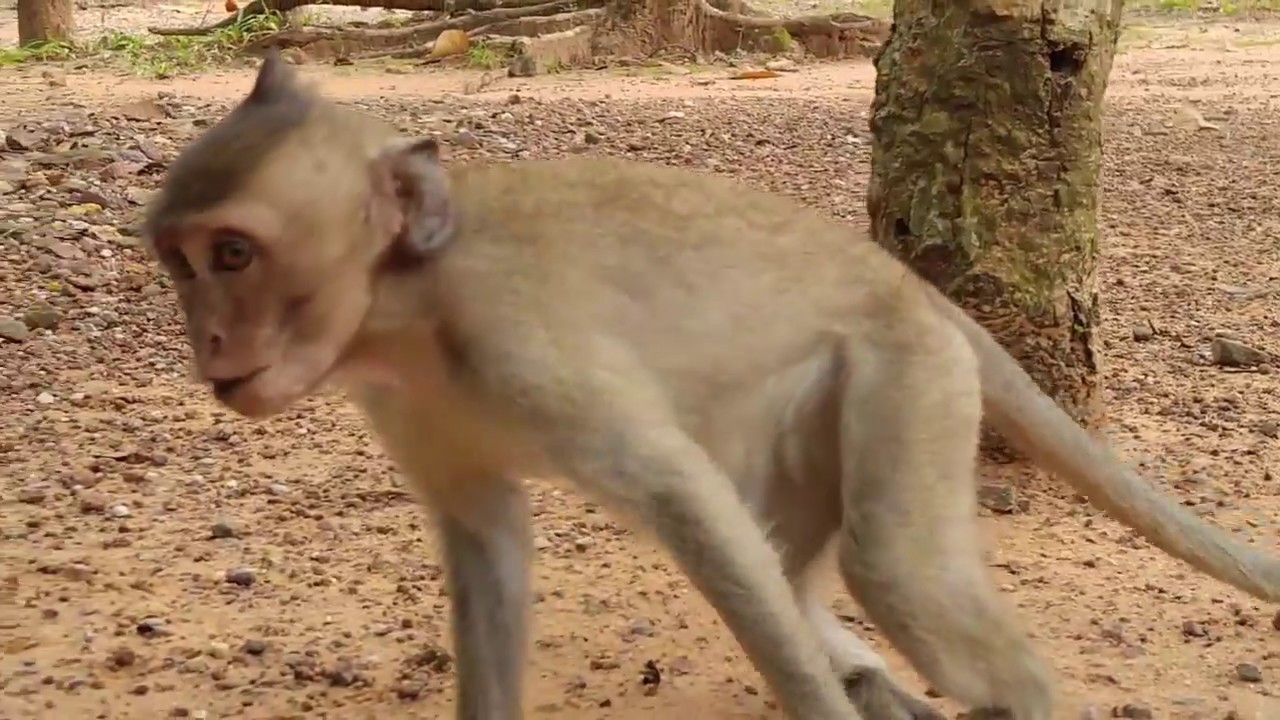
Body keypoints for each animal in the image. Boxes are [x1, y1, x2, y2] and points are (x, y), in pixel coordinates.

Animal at [141, 52, 1280, 720]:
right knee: (796, 551)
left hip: (907, 376)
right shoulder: (400, 400)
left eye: (234, 254)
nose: (208, 341)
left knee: (893, 569)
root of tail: (910, 286)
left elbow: (678, 496)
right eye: (181, 263)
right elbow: (487, 545)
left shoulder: (520, 342)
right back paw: (864, 668)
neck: (410, 304)